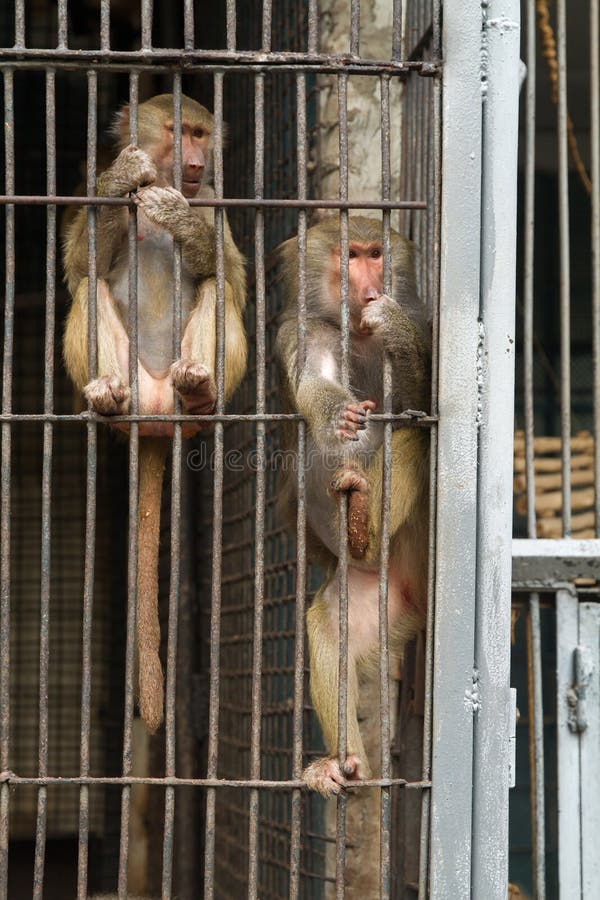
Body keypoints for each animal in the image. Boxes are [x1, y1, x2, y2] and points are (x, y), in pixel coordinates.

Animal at [63, 93, 247, 733]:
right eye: (178, 131)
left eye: (201, 134)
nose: (195, 161)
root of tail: (156, 413)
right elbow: (79, 265)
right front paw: (126, 175)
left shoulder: (216, 201)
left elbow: (232, 278)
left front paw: (180, 221)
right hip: (128, 377)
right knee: (89, 290)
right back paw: (106, 399)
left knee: (218, 289)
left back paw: (200, 393)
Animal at [275, 216, 430, 797]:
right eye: (350, 255)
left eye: (377, 254)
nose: (368, 290)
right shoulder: (306, 334)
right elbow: (313, 385)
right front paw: (336, 411)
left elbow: (422, 405)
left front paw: (392, 325)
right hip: (378, 598)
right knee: (327, 624)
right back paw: (346, 765)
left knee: (411, 434)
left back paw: (366, 516)